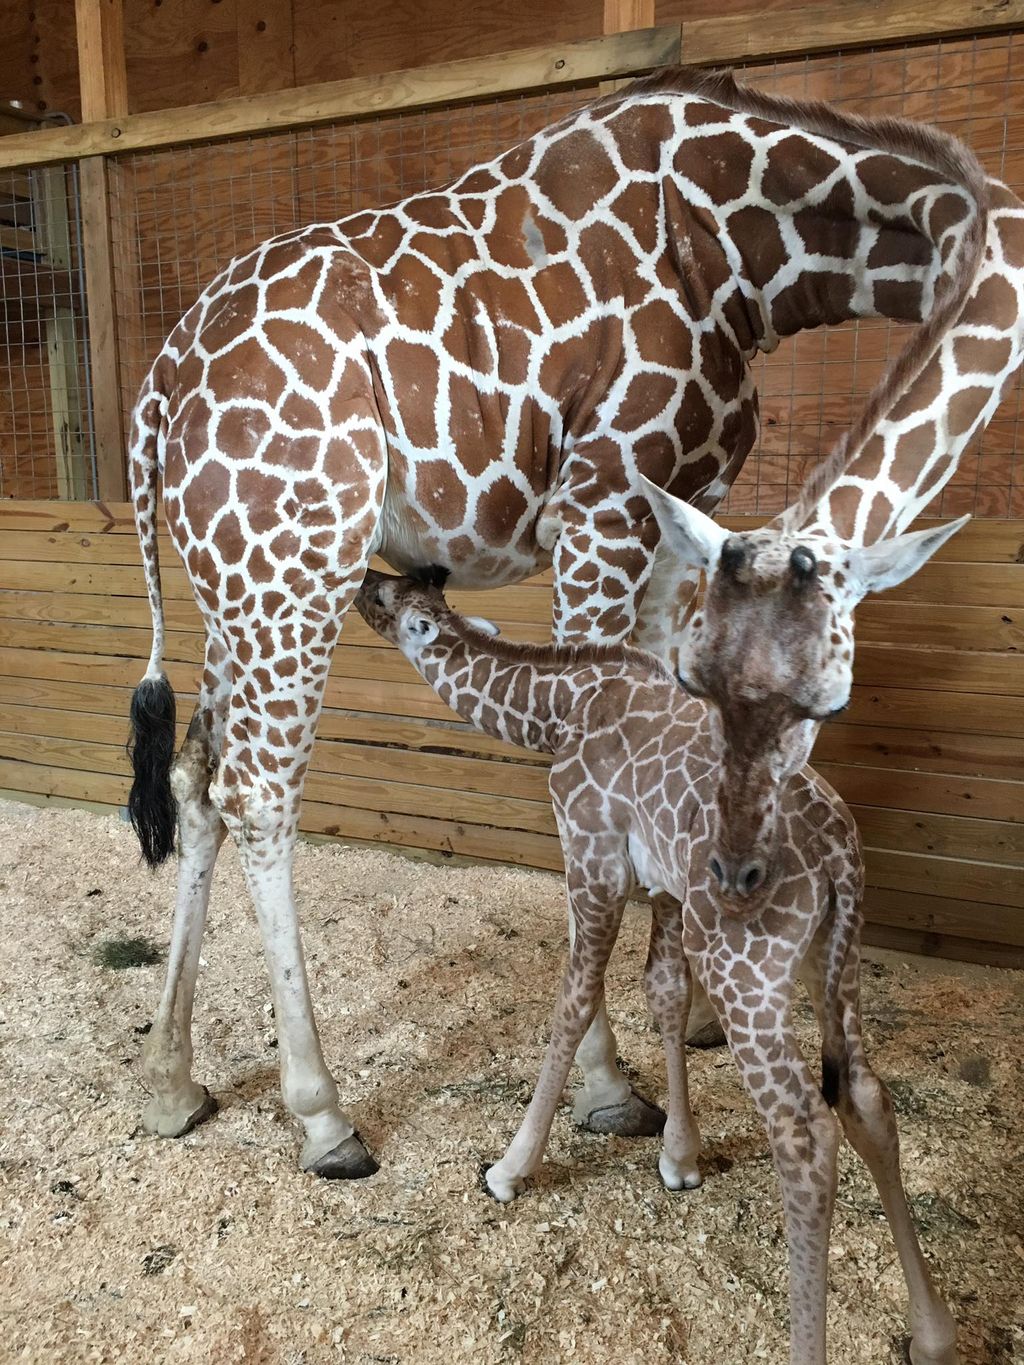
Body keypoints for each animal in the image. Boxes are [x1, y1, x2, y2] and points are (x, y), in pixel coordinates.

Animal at [354, 568, 958, 1365]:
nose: (360, 581)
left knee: (804, 1131)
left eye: (389, 600)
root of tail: (837, 853)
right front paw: (680, 1158)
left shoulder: (593, 861)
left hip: (744, 966)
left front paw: (510, 1169)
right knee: (864, 1096)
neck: (559, 713)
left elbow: (574, 1002)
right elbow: (664, 998)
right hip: (835, 955)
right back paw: (933, 1334)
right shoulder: (669, 890)